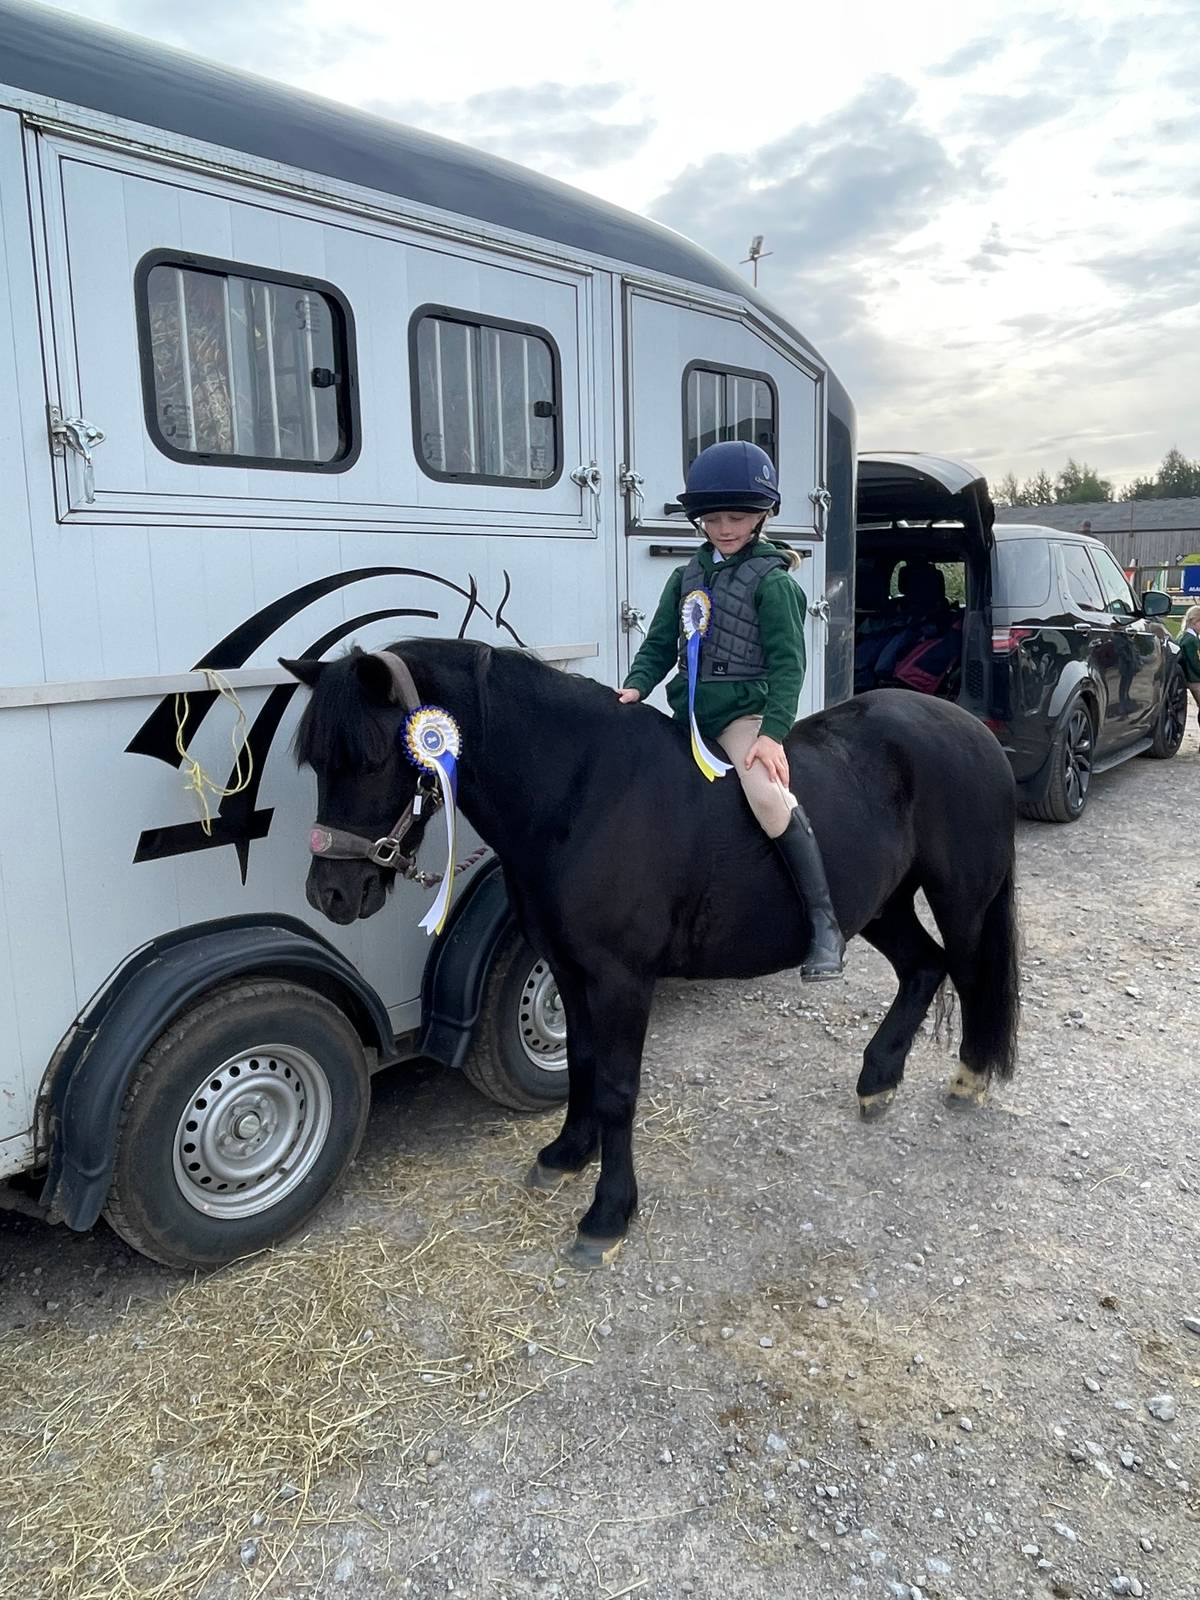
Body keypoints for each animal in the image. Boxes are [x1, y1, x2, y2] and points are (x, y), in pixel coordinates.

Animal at [282, 639, 1020, 1267]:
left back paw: (969, 1077)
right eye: (318, 763)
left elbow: (616, 1087)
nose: (330, 893)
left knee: (970, 974)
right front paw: (564, 1155)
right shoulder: (568, 968)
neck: (580, 790)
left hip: (961, 900)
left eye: (373, 758)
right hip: (879, 903)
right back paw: (877, 1082)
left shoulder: (621, 980)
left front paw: (607, 1216)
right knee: (924, 968)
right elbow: (582, 1064)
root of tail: (968, 726)